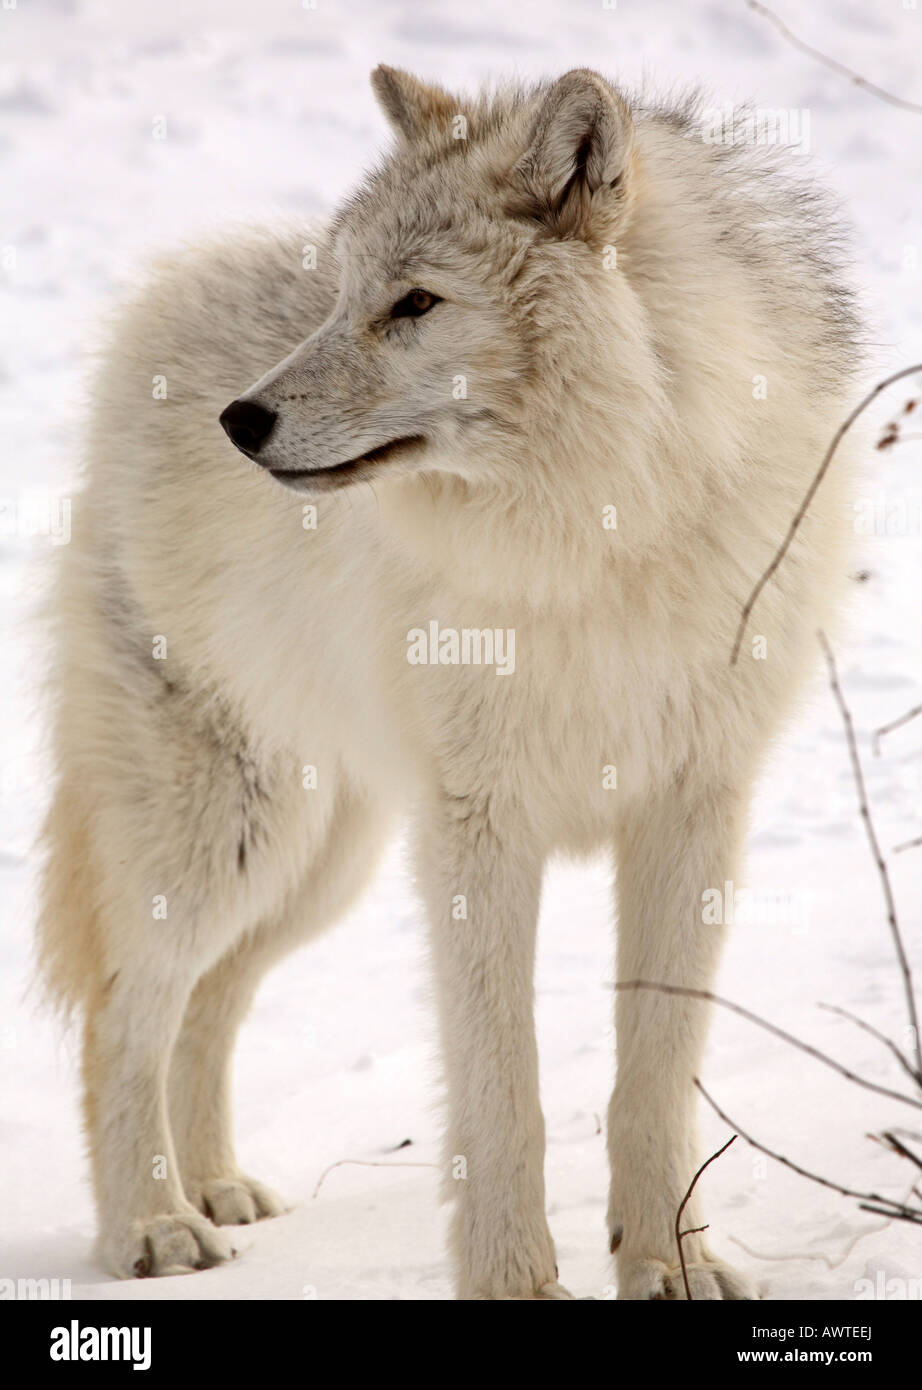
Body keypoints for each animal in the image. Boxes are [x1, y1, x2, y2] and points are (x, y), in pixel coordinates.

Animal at [38, 66, 861, 1298]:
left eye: (415, 303)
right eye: (340, 298)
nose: (240, 420)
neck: (593, 537)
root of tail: (174, 290)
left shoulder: (693, 813)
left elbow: (654, 1078)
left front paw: (669, 1264)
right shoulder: (479, 829)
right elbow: (501, 1091)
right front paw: (515, 1279)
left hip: (325, 860)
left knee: (210, 1003)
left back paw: (218, 1187)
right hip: (226, 837)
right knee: (123, 1014)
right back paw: (154, 1226)